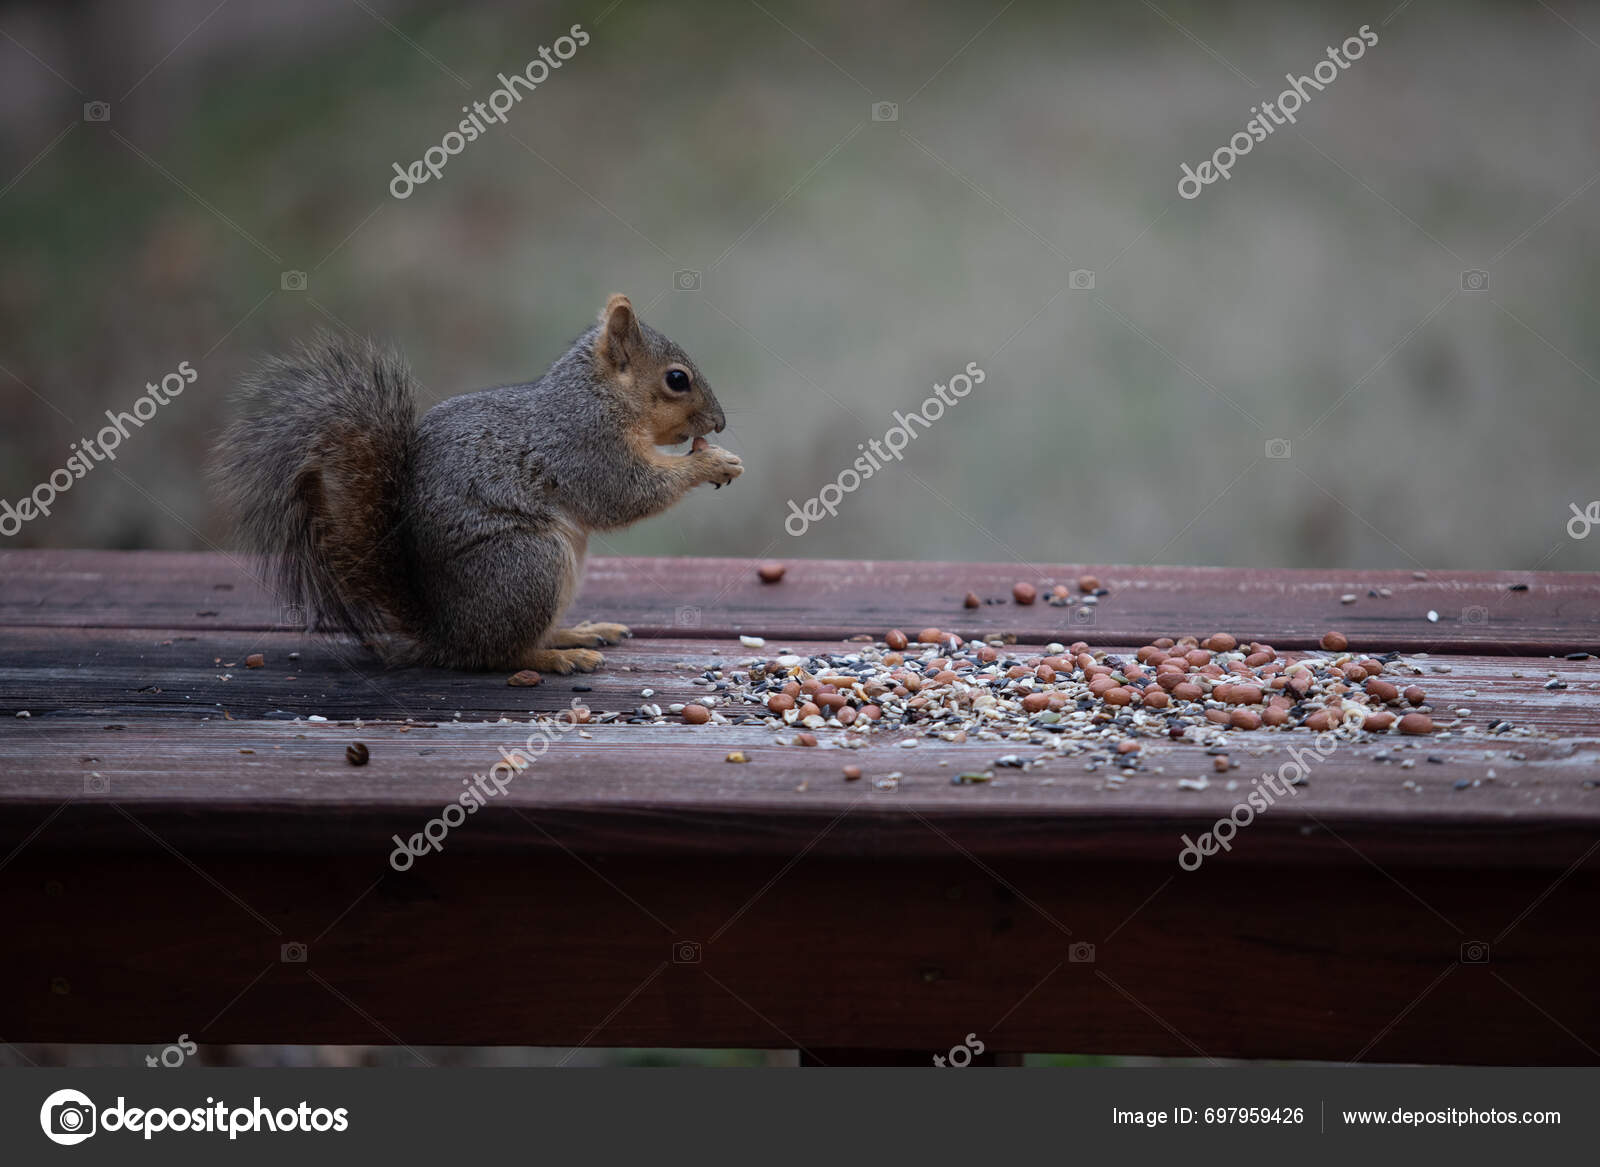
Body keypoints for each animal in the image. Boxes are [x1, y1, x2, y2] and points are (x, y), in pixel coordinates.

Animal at [213, 294, 742, 672]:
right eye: (677, 379)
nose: (718, 422)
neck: (599, 395)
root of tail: (445, 633)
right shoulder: (585, 447)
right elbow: (626, 494)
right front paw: (711, 464)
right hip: (527, 564)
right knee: (500, 655)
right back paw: (559, 656)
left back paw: (575, 633)